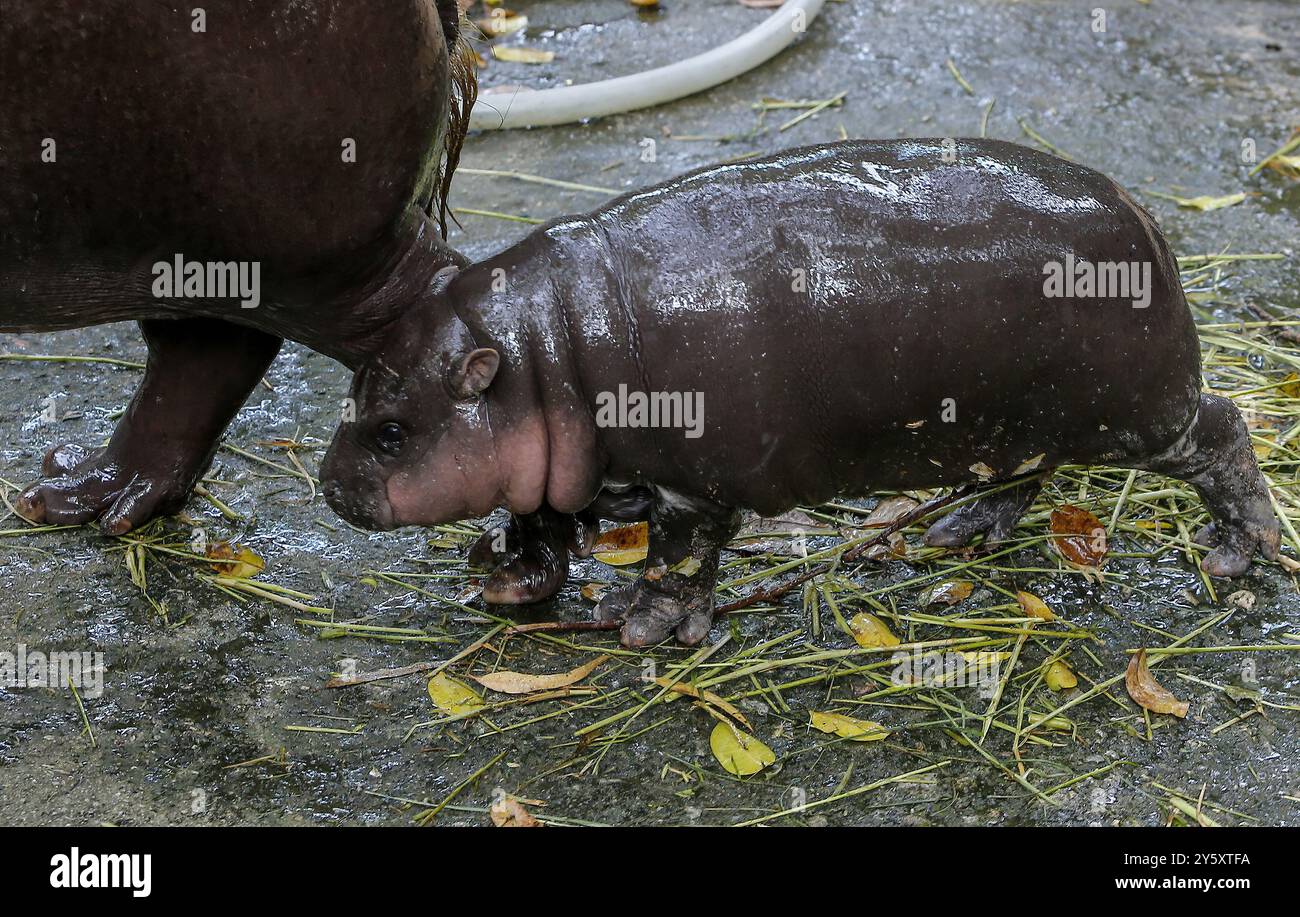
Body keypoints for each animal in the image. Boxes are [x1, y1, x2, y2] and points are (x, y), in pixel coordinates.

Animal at [322, 138, 1281, 647]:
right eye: (354, 394)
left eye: (393, 431)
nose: (330, 486)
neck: (537, 350)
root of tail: (1144, 215)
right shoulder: (557, 468)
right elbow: (536, 523)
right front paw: (502, 577)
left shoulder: (690, 484)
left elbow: (676, 562)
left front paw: (644, 629)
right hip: (1013, 420)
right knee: (1019, 475)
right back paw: (957, 532)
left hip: (1140, 415)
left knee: (1224, 431)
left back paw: (1238, 553)